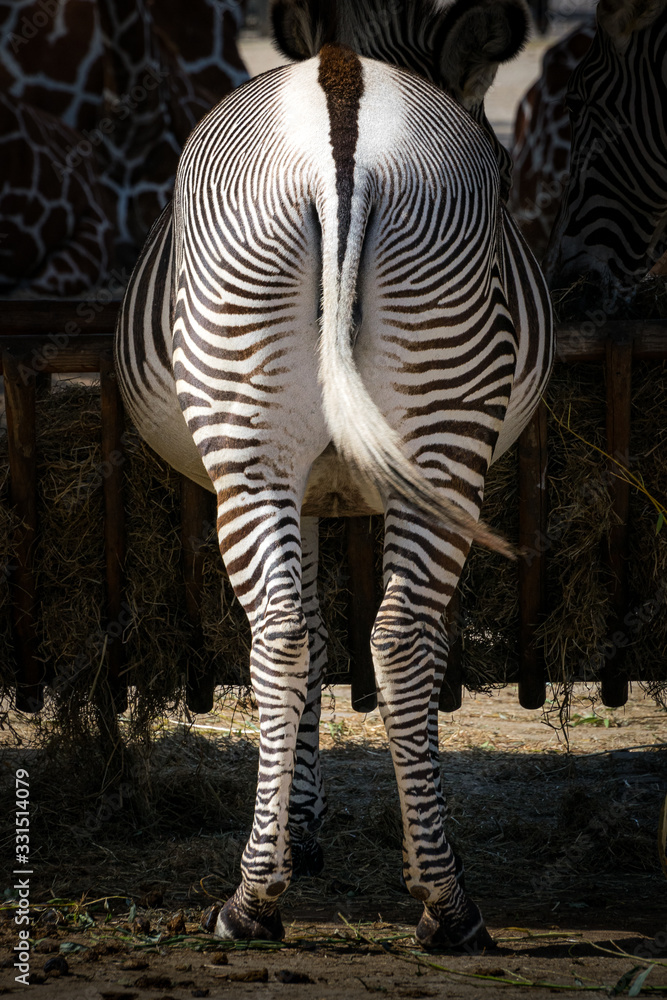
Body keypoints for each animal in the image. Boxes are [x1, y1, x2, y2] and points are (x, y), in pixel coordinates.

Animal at [115, 0, 553, 950]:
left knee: (287, 635)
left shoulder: (309, 489)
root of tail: (338, 121)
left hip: (255, 446)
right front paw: (312, 834)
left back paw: (251, 901)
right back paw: (444, 902)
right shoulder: (322, 489)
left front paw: (299, 834)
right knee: (393, 638)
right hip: (434, 431)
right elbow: (330, 638)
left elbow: (317, 639)